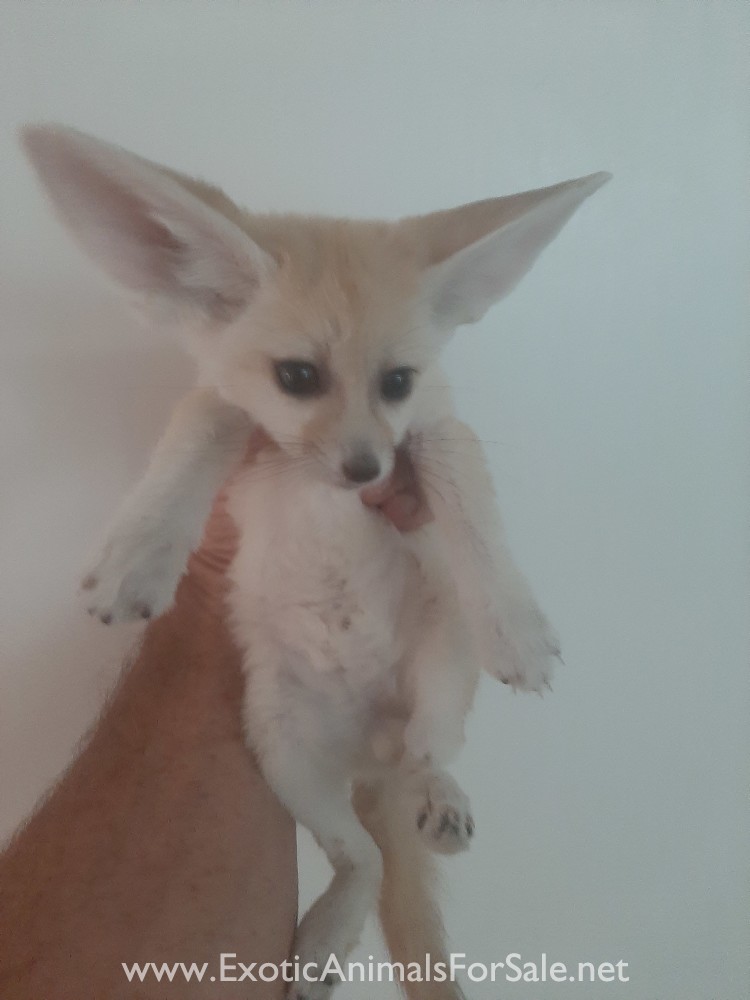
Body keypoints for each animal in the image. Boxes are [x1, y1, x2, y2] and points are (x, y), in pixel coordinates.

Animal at [21, 124, 609, 1000]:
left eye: (397, 380)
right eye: (297, 377)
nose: (364, 470)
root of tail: (368, 747)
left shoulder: (433, 431)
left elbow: (465, 496)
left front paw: (516, 622)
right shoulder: (231, 410)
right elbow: (201, 424)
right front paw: (142, 551)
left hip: (439, 683)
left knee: (426, 759)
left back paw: (438, 797)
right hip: (285, 751)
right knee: (363, 858)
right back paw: (326, 935)